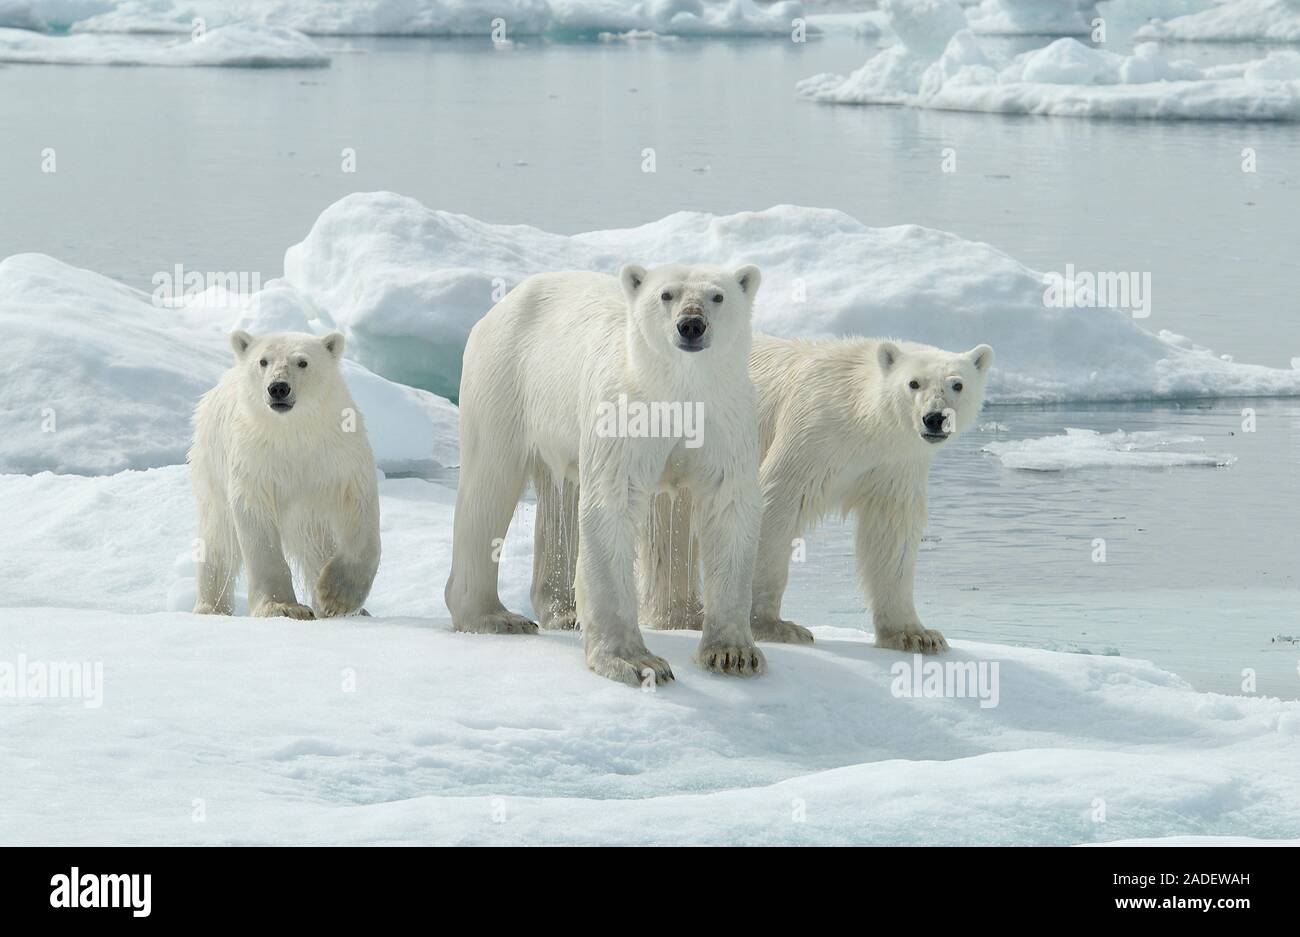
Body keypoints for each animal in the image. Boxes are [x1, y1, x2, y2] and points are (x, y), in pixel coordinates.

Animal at [189, 330, 381, 620]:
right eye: (263, 361)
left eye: (303, 362)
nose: (278, 387)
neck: (292, 431)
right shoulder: (255, 460)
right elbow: (256, 523)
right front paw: (283, 607)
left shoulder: (338, 455)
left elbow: (359, 510)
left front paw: (335, 597)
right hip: (210, 468)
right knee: (218, 540)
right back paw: (211, 607)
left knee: (316, 546)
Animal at [446, 264, 767, 686]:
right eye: (665, 294)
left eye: (718, 296)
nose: (691, 324)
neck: (676, 391)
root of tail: (505, 302)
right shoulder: (624, 413)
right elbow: (612, 504)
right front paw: (636, 662)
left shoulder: (726, 421)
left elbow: (728, 507)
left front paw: (732, 653)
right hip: (506, 379)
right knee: (489, 484)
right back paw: (495, 617)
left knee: (562, 494)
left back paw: (573, 611)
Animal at [636, 334, 994, 652]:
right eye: (913, 383)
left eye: (958, 384)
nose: (935, 418)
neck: (860, 418)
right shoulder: (812, 434)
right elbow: (776, 503)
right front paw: (774, 625)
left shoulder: (893, 465)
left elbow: (892, 532)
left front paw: (915, 635)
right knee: (668, 528)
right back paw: (680, 614)